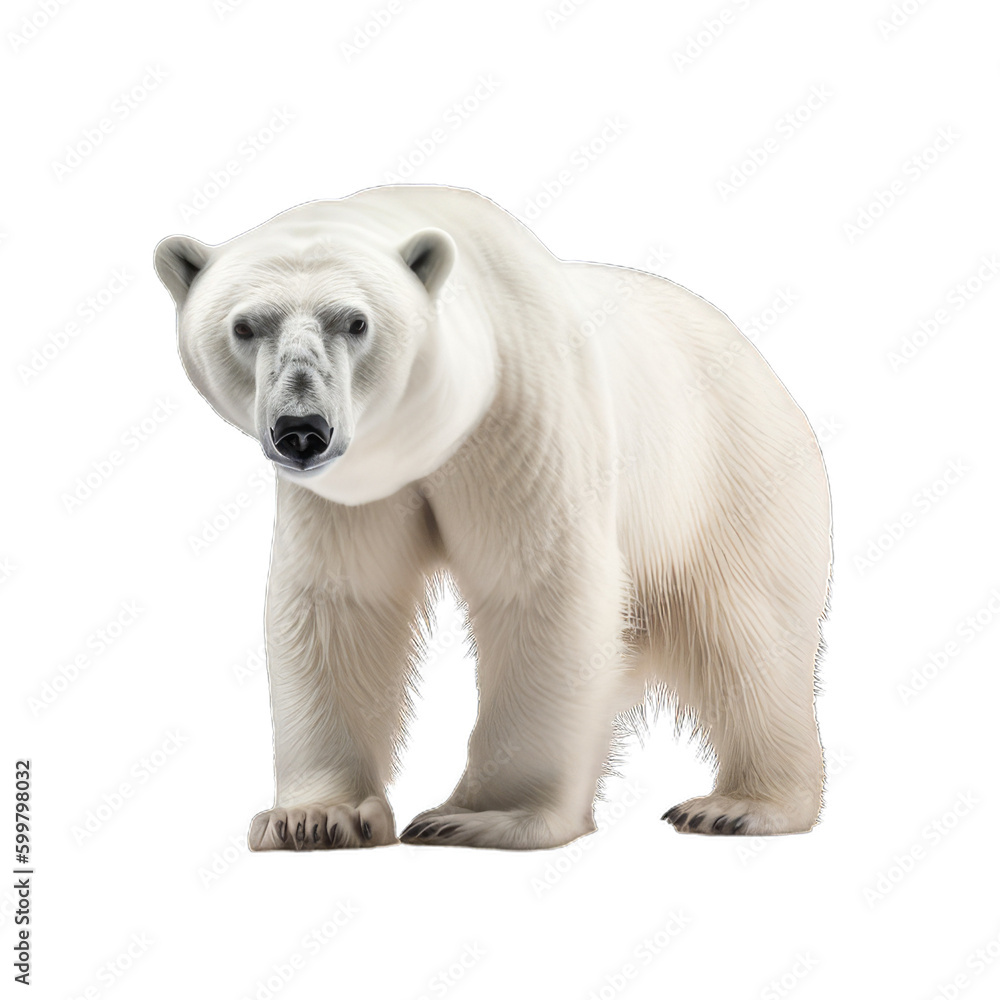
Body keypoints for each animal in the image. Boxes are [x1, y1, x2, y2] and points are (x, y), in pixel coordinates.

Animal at [154, 184, 831, 851]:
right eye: (245, 325)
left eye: (356, 321)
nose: (301, 429)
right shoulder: (350, 490)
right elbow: (340, 601)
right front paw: (313, 817)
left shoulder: (520, 416)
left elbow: (538, 586)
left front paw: (481, 816)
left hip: (732, 477)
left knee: (747, 634)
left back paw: (739, 807)